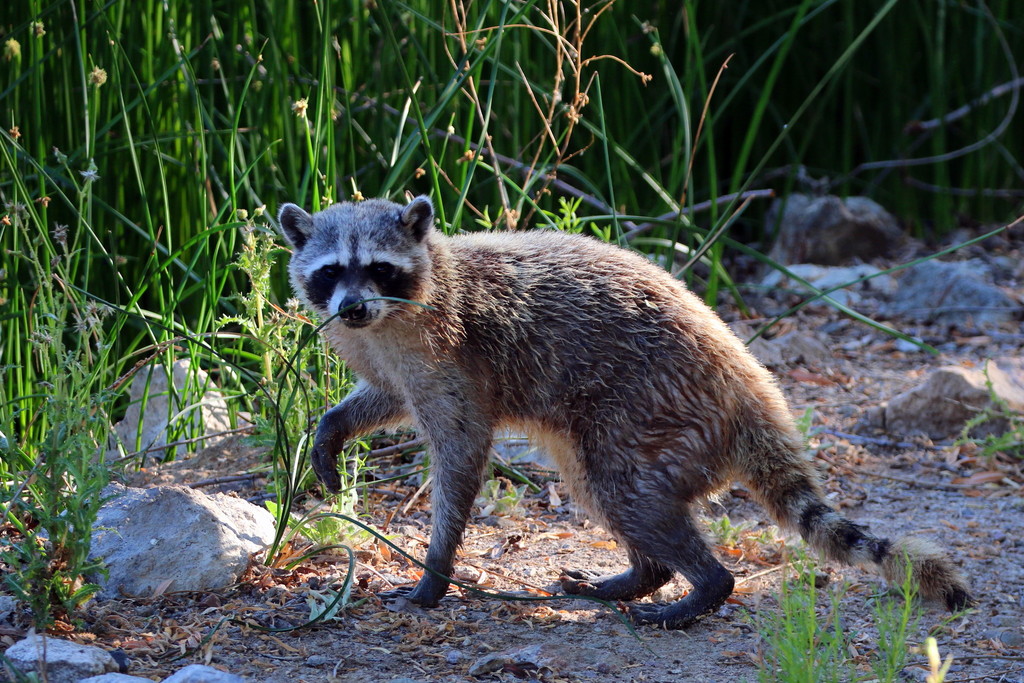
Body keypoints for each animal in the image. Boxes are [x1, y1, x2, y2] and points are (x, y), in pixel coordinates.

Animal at [277, 195, 972, 629]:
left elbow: (461, 451)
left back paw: (704, 585)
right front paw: (332, 429)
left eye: (380, 268)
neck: (391, 317)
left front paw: (436, 569)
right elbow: (385, 396)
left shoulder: (450, 350)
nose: (354, 307)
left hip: (659, 409)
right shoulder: (384, 353)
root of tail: (749, 389)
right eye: (332, 271)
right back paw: (645, 574)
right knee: (596, 483)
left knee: (625, 489)